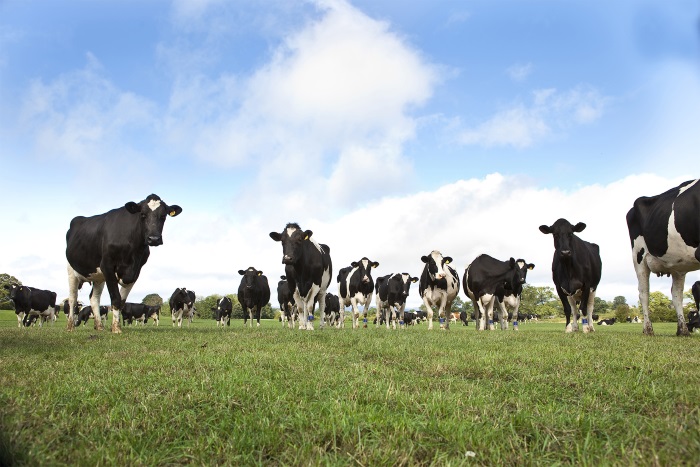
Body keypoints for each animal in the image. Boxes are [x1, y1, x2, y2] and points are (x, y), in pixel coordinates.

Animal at [65, 194, 182, 333]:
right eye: (142, 214)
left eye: (163, 216)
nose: (154, 239)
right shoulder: (107, 266)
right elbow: (115, 299)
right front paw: (116, 328)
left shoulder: (135, 271)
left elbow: (121, 301)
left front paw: (114, 325)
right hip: (71, 270)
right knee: (72, 299)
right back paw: (70, 326)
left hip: (98, 276)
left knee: (94, 298)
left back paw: (99, 326)